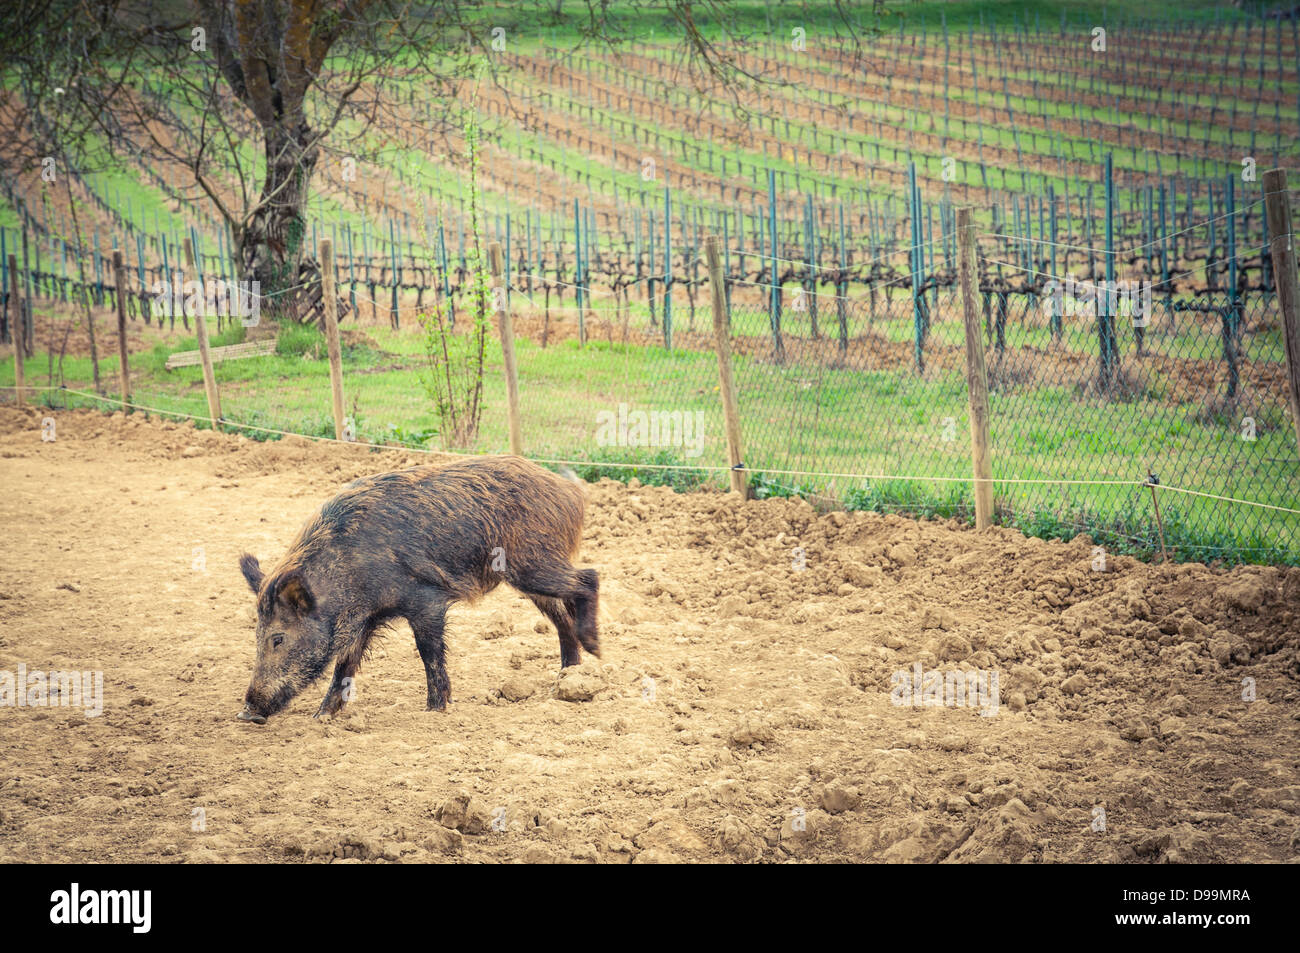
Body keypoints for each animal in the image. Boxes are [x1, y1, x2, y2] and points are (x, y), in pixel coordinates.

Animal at [236, 455, 599, 724]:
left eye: (277, 638)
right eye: (256, 635)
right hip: (530, 574)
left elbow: (428, 652)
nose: (248, 712)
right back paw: (567, 676)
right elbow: (345, 664)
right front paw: (321, 717)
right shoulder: (364, 618)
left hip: (532, 564)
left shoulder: (426, 599)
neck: (346, 574)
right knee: (562, 615)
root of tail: (570, 489)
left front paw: (435, 709)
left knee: (589, 578)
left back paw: (593, 650)